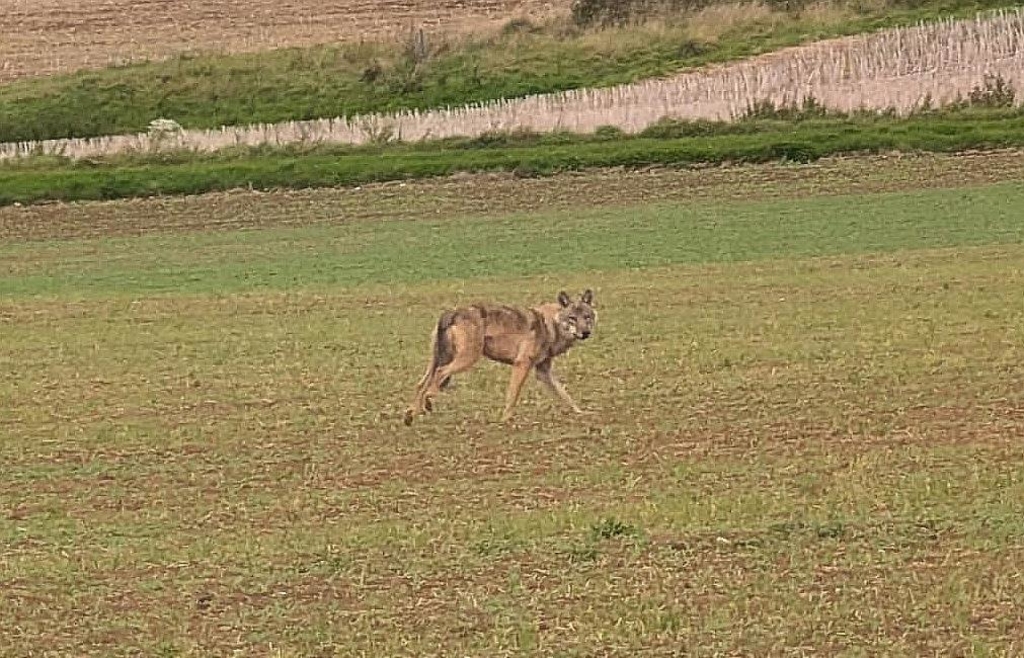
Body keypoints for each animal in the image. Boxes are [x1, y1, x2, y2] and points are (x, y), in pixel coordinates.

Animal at [403, 289, 597, 425]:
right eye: (572, 318)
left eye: (587, 317)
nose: (585, 333)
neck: (550, 325)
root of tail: (451, 313)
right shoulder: (522, 364)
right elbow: (513, 395)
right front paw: (506, 419)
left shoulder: (543, 372)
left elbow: (565, 395)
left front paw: (581, 413)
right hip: (465, 359)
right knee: (438, 376)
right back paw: (427, 403)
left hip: (438, 360)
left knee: (420, 384)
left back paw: (411, 414)